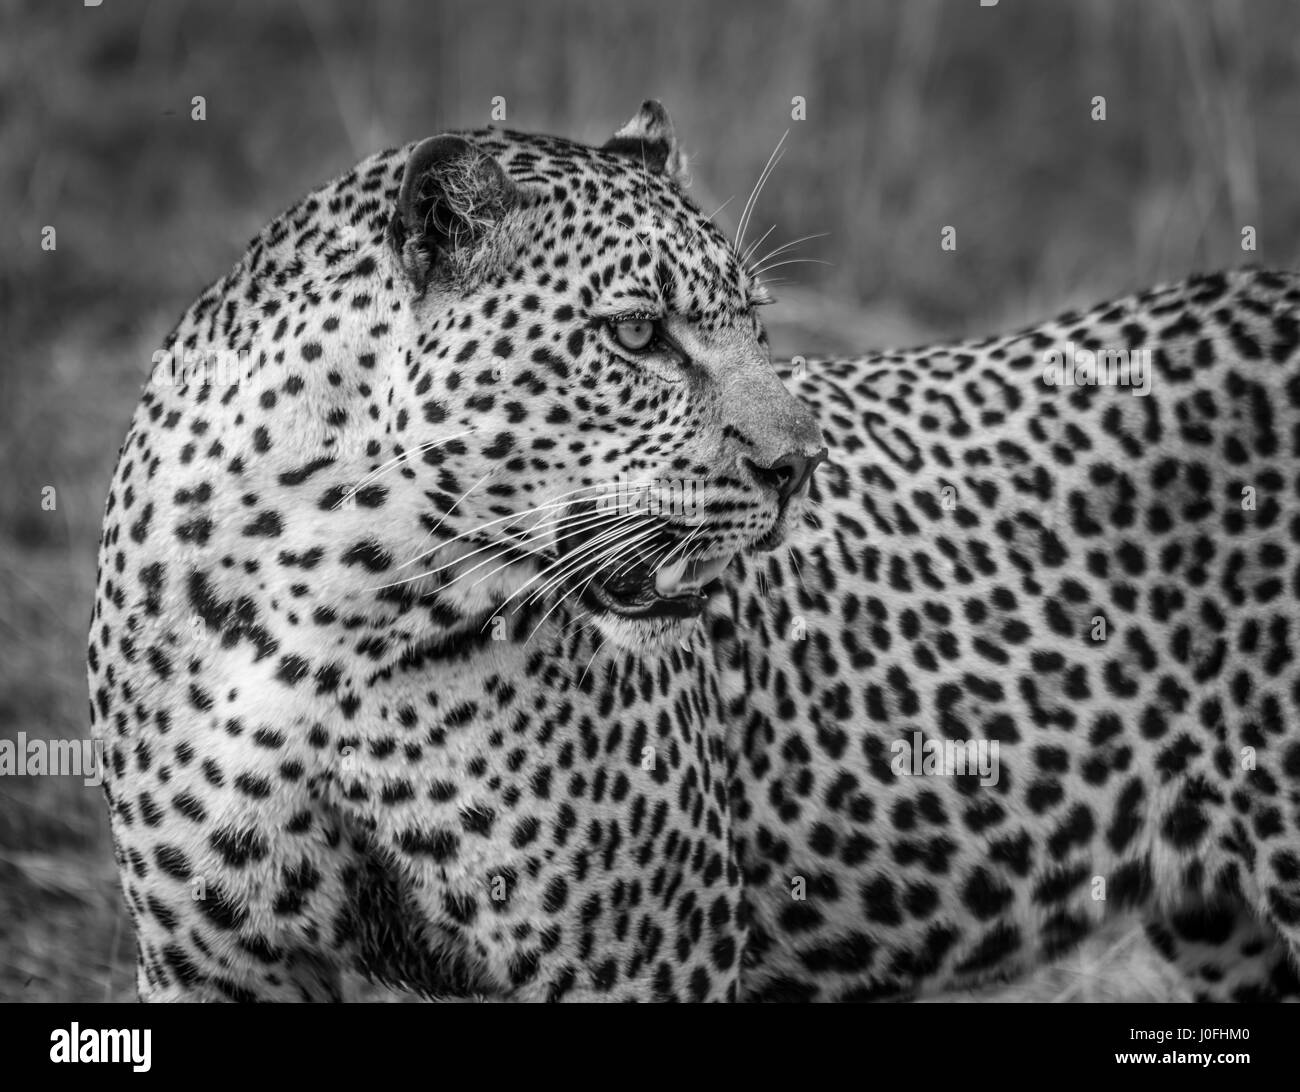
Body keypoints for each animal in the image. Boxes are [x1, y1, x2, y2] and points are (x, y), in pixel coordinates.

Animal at [86, 100, 821, 998]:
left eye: (757, 324)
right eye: (639, 333)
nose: (800, 463)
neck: (325, 623)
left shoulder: (651, 960)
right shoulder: (204, 958)